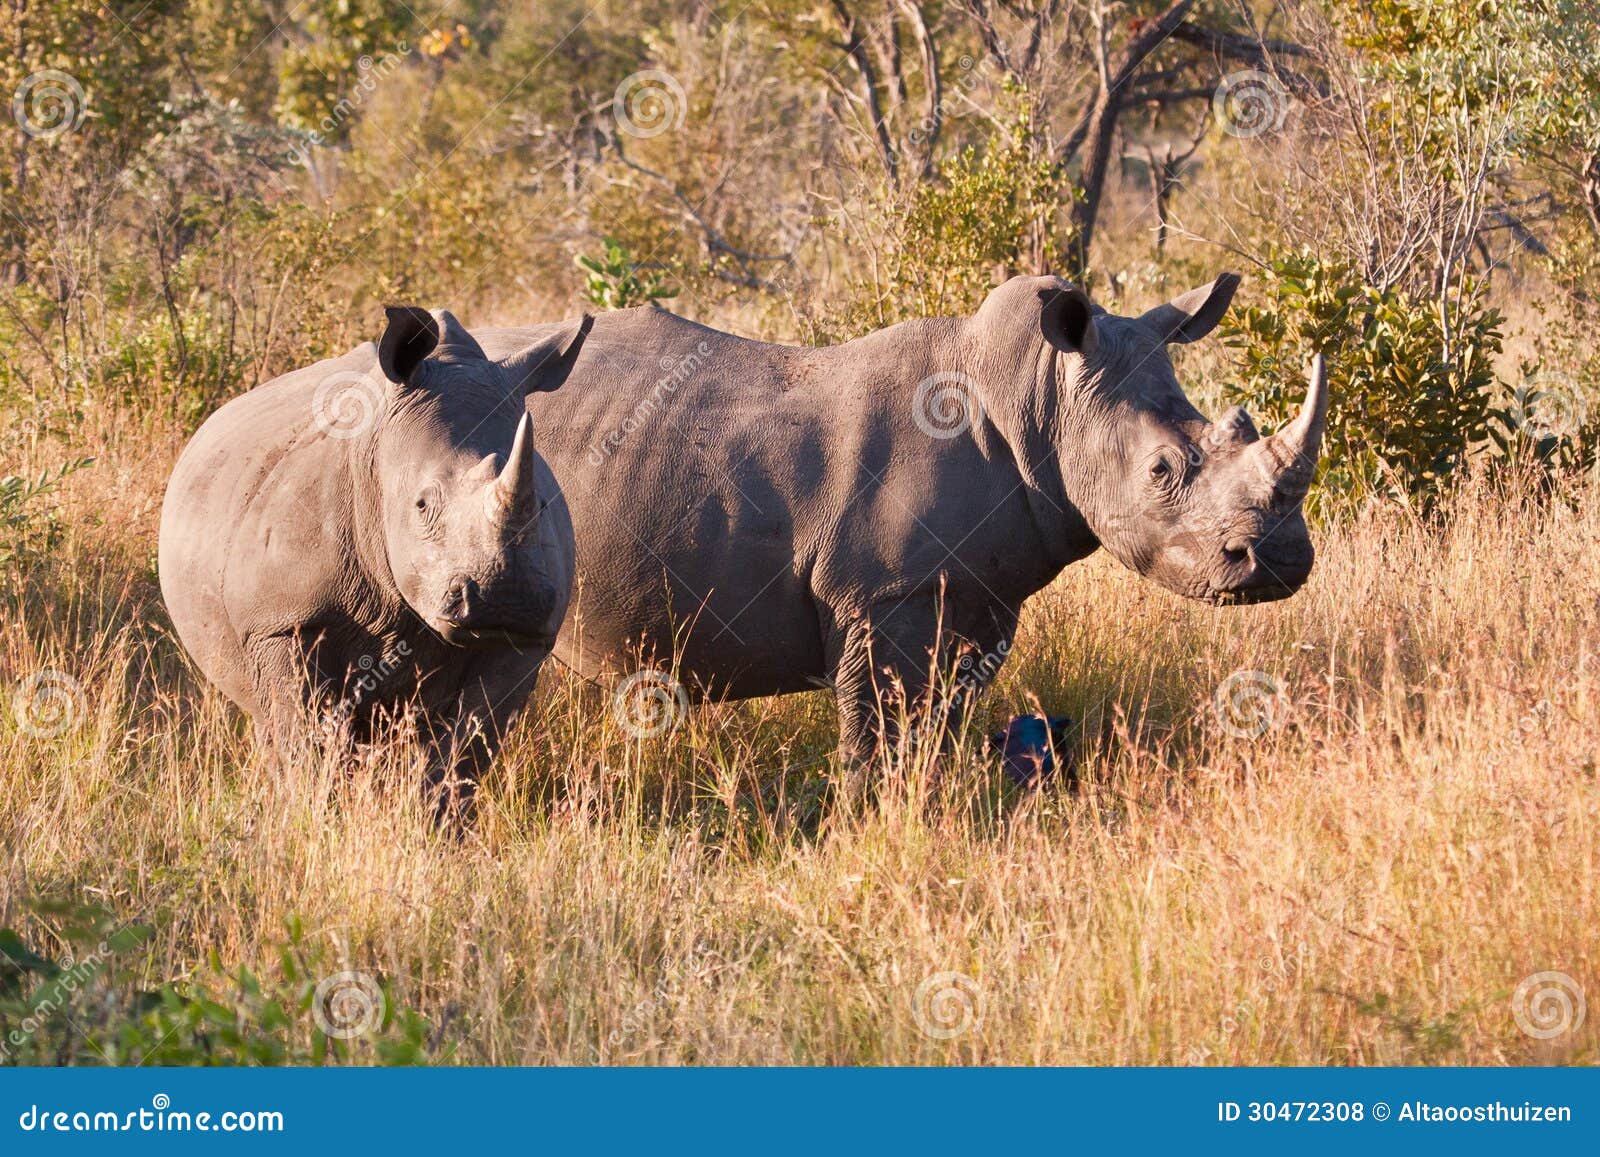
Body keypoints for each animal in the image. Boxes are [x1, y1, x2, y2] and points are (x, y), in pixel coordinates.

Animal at [159, 306, 592, 807]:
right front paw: (317, 815)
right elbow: (306, 740)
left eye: (541, 504)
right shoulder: (280, 619)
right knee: (272, 719)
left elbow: (464, 752)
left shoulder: (522, 642)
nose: (507, 598)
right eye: (421, 504)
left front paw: (432, 821)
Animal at [474, 273, 1325, 762]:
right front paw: (870, 826)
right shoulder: (883, 595)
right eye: (1161, 471)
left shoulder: (980, 593)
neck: (1039, 395)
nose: (1282, 561)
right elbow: (879, 734)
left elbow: (940, 724)